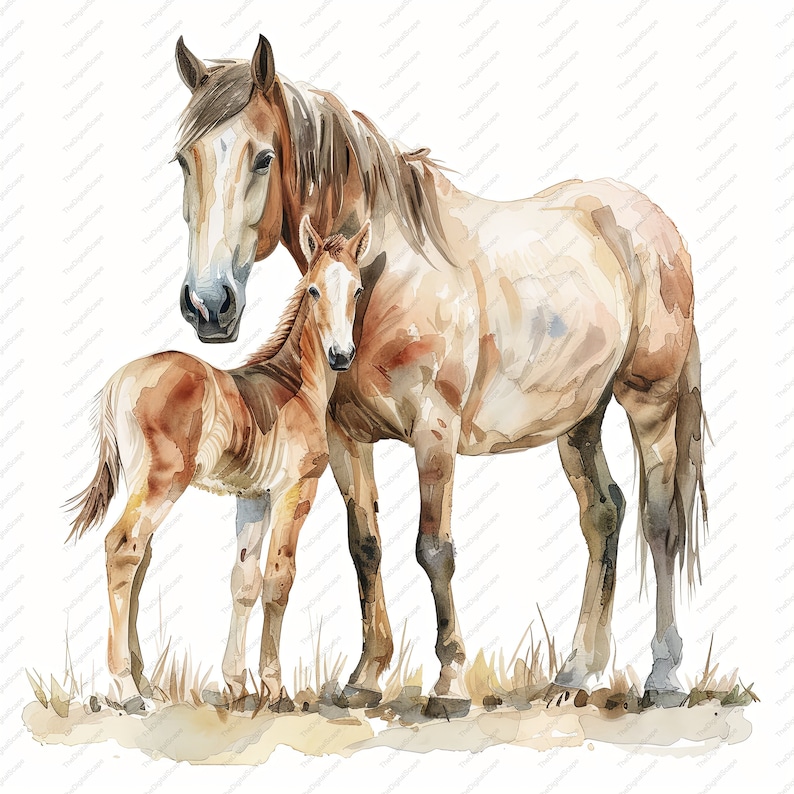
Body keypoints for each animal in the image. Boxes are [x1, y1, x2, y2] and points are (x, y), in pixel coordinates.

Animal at [68, 217, 371, 714]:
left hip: (142, 484)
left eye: (358, 289)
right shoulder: (295, 490)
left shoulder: (253, 499)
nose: (341, 356)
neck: (295, 386)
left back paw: (145, 682)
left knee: (140, 557)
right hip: (163, 483)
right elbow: (279, 581)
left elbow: (244, 582)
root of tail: (117, 381)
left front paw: (236, 686)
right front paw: (275, 689)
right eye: (313, 290)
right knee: (122, 547)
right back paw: (127, 689)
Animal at [172, 35, 707, 714]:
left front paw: (449, 683)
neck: (388, 276)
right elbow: (365, 546)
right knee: (604, 514)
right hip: (580, 418)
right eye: (184, 161)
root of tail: (652, 222)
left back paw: (663, 676)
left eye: (264, 157)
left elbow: (434, 549)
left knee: (661, 521)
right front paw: (365, 677)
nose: (208, 305)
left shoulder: (434, 433)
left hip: (650, 405)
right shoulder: (348, 438)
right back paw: (577, 672)